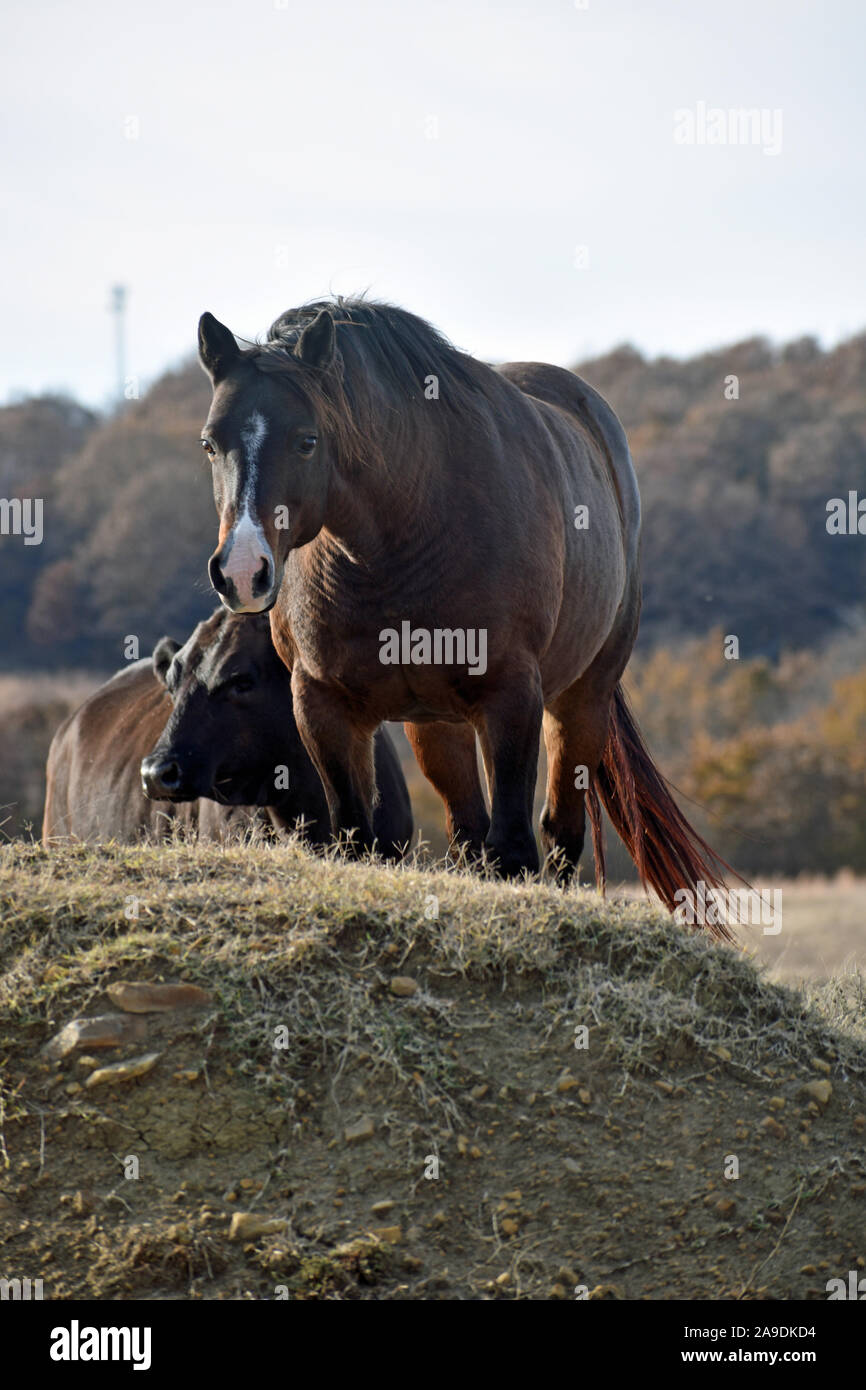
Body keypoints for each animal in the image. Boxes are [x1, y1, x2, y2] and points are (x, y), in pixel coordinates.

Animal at [196, 297, 733, 936]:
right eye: (210, 443)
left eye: (306, 440)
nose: (242, 570)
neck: (399, 539)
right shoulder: (323, 704)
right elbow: (357, 839)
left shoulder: (510, 697)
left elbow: (514, 850)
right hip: (436, 723)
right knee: (471, 832)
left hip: (581, 698)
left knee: (558, 832)